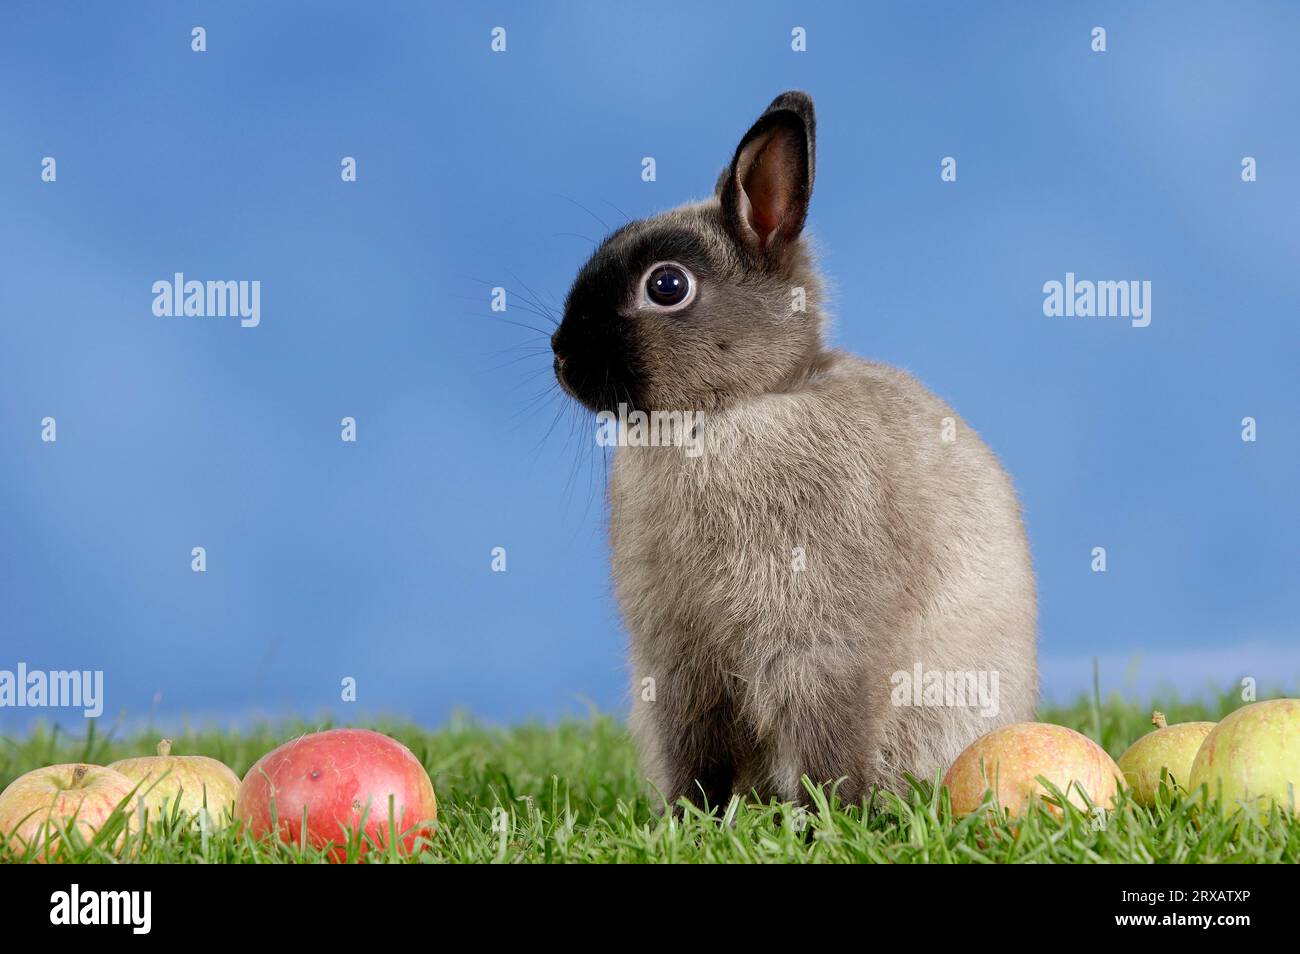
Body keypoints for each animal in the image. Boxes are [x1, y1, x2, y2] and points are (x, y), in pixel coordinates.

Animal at [550, 91, 1037, 809]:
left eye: (667, 287)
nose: (560, 356)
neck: (732, 410)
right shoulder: (677, 663)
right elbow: (694, 751)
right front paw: (688, 817)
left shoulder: (815, 649)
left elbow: (826, 739)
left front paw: (824, 817)